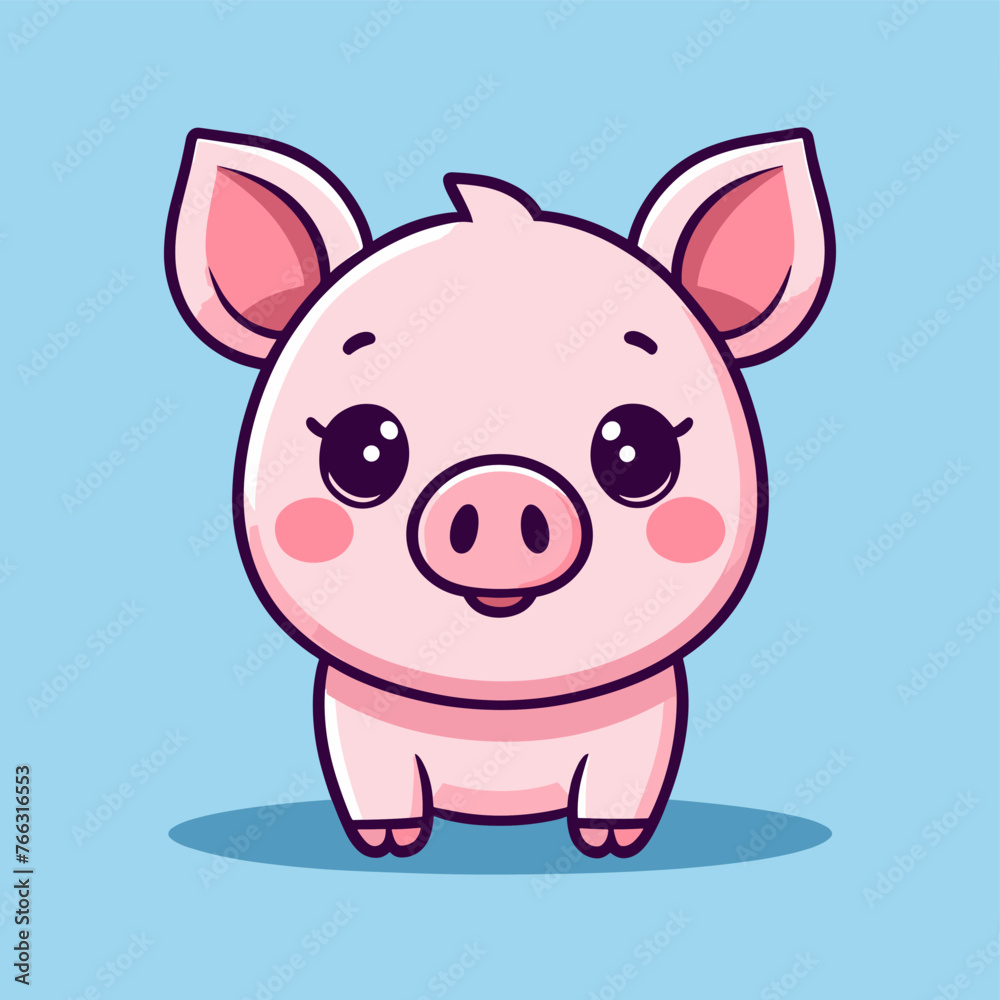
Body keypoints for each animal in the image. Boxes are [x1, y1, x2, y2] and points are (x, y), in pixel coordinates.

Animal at [165, 127, 834, 858]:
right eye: (361, 449)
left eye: (638, 448)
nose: (499, 493)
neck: (499, 716)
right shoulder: (353, 722)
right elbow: (380, 785)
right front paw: (390, 842)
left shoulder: (647, 723)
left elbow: (618, 786)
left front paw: (609, 842)